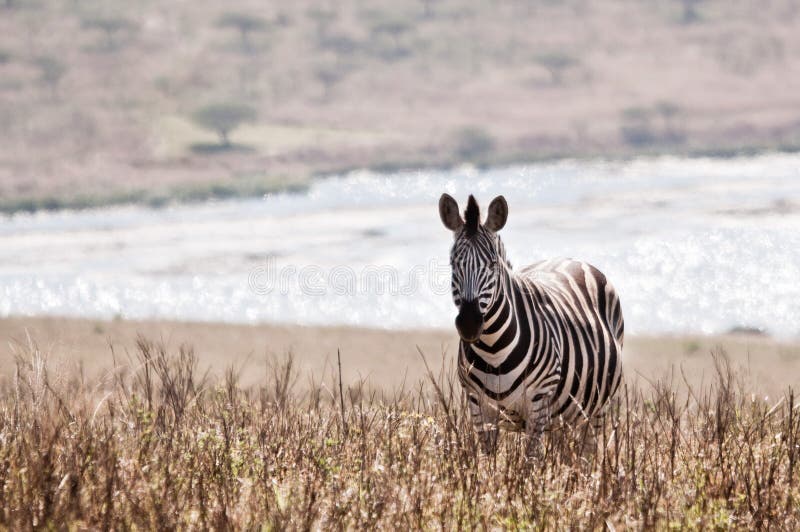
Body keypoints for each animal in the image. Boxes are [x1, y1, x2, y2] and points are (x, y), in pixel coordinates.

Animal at [438, 193, 624, 454]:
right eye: (453, 264)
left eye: (493, 264)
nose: (469, 323)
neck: (493, 348)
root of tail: (570, 259)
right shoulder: (478, 405)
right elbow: (487, 460)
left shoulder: (539, 401)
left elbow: (530, 460)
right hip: (562, 415)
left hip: (596, 409)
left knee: (587, 453)